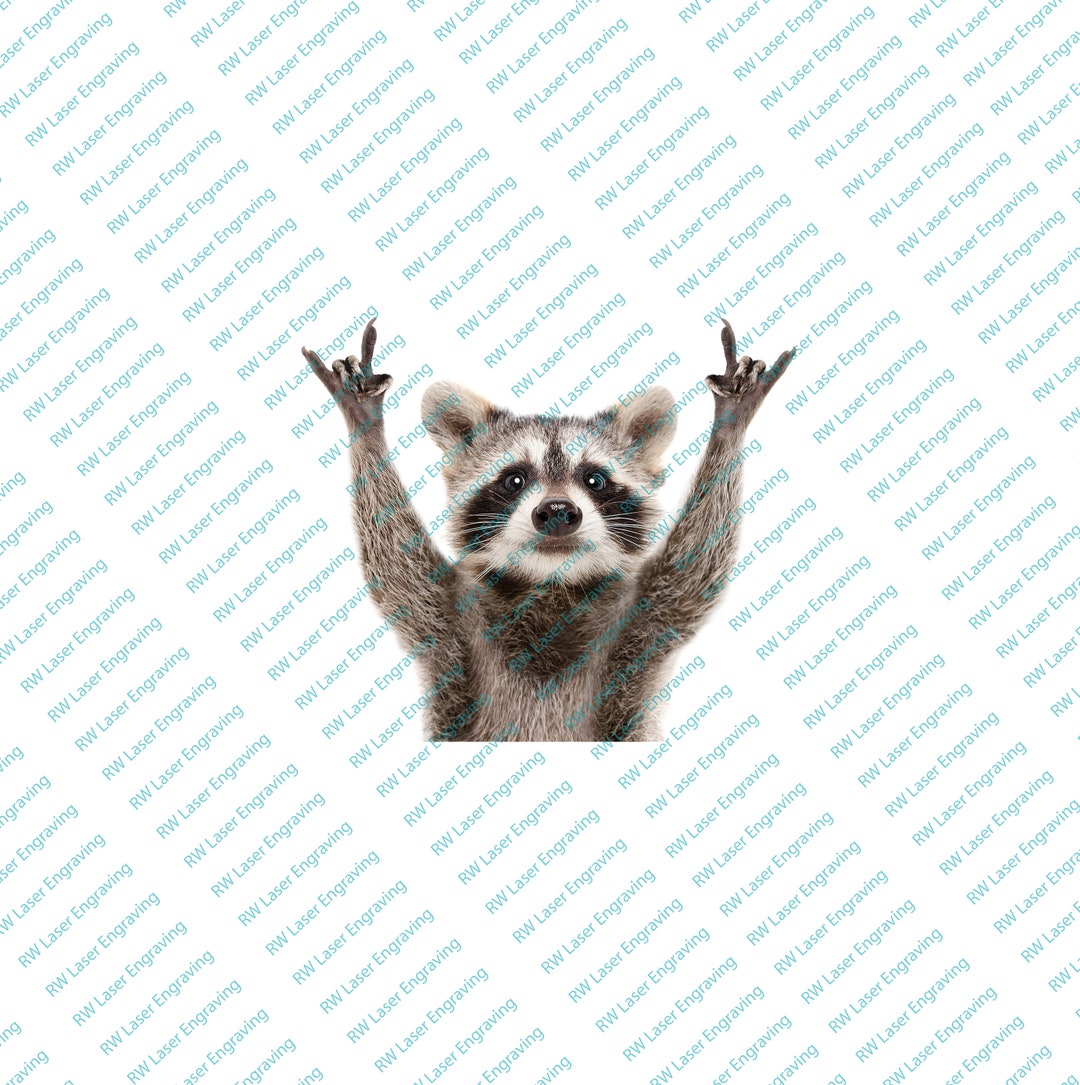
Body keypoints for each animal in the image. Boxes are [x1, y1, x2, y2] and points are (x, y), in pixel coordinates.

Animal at [301, 316, 794, 742]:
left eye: (594, 479)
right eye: (514, 479)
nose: (557, 511)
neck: (550, 583)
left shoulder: (644, 621)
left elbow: (696, 566)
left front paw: (728, 427)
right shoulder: (447, 618)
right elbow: (396, 564)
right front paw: (365, 426)